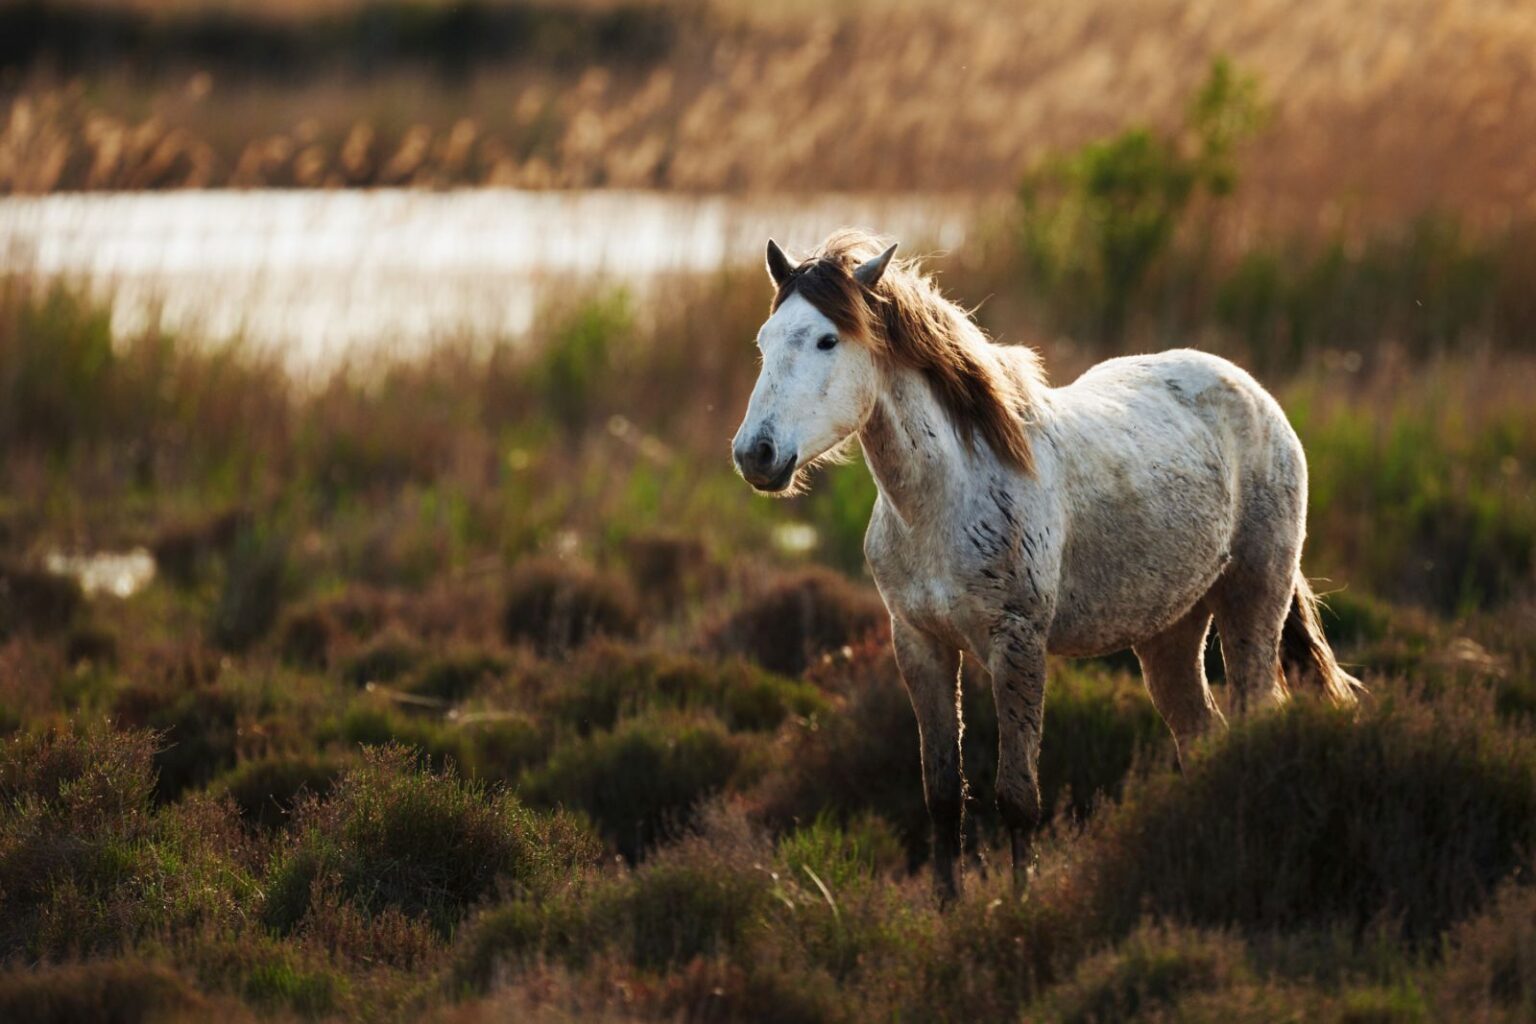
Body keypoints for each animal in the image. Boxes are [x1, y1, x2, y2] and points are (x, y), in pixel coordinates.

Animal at [731, 228, 1363, 902]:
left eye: (828, 340)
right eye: (763, 342)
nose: (756, 454)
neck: (948, 494)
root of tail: (1255, 394)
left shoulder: (1018, 642)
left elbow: (1018, 797)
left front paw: (1020, 906)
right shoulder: (920, 644)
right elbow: (942, 797)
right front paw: (948, 909)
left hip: (1254, 602)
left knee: (1254, 716)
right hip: (1170, 632)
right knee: (1201, 732)